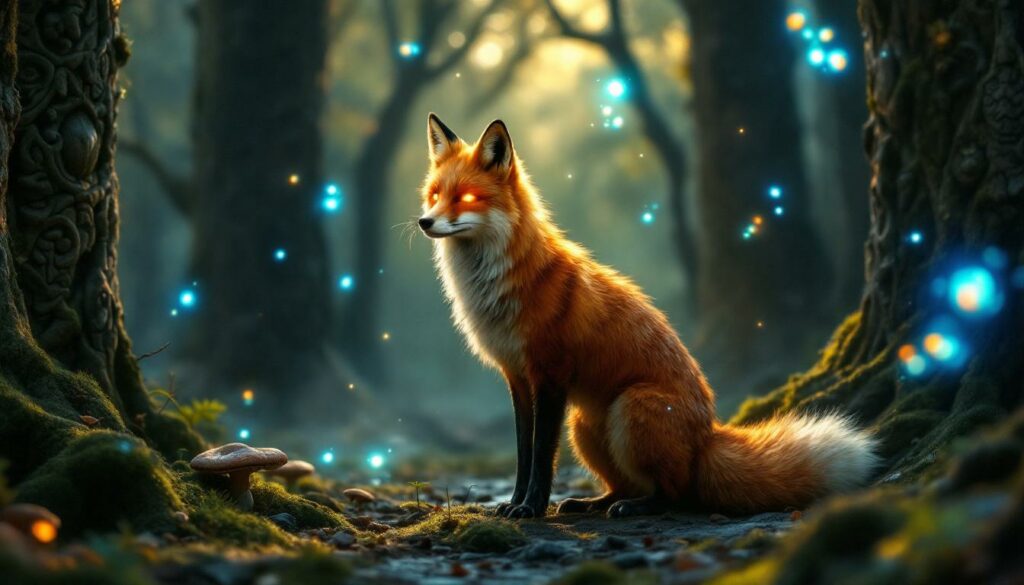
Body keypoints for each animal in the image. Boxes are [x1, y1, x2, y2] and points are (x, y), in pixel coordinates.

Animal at [418, 113, 878, 518]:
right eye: (435, 195)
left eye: (467, 198)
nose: (424, 222)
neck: (495, 286)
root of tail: (708, 436)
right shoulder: (516, 377)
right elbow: (523, 453)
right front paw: (515, 503)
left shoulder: (549, 374)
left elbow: (541, 457)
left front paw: (531, 508)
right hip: (587, 425)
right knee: (628, 484)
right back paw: (593, 502)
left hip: (630, 408)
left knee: (675, 493)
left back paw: (636, 507)